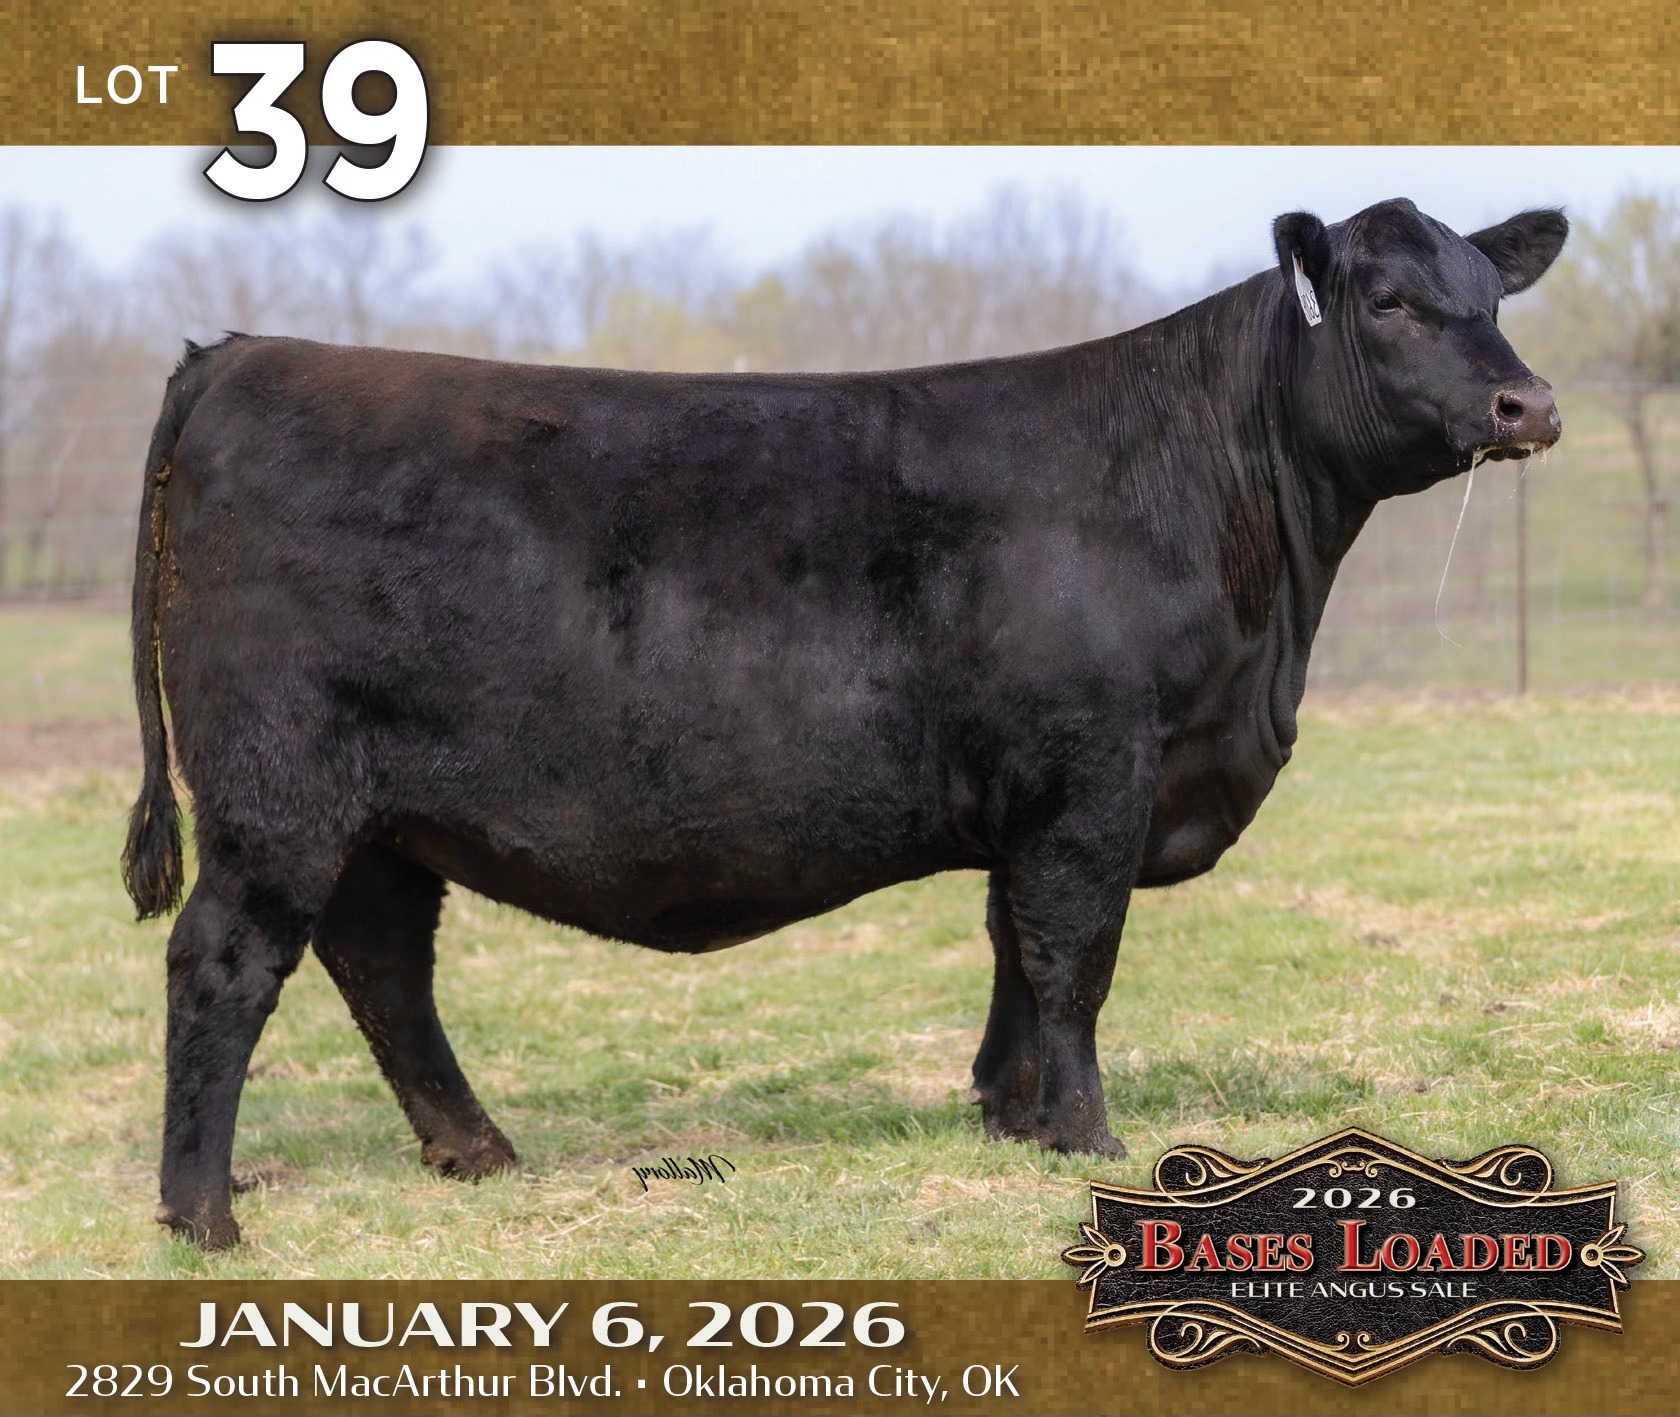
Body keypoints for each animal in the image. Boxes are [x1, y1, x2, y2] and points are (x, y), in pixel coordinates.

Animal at [123, 198, 1566, 1248]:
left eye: (1493, 299)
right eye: (1388, 302)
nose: (1529, 405)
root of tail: (241, 353)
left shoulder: (1033, 795)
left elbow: (1011, 946)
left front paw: (1007, 1115)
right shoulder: (1095, 774)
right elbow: (1072, 956)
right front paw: (1087, 1136)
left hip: (378, 819)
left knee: (381, 964)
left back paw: (475, 1153)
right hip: (274, 798)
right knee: (225, 967)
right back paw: (202, 1215)